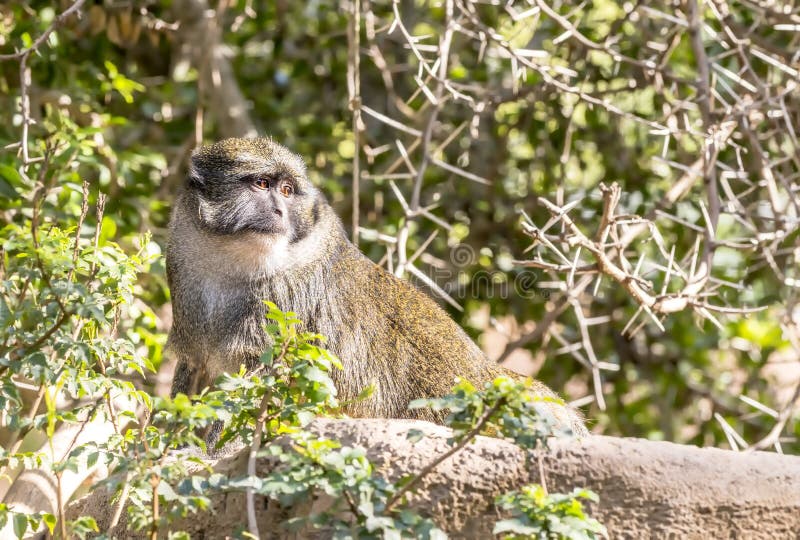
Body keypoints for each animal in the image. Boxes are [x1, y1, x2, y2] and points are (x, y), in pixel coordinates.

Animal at [166, 137, 587, 437]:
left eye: (286, 191)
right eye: (261, 184)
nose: (280, 211)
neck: (230, 262)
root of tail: (482, 373)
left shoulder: (282, 303)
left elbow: (259, 385)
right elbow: (195, 369)